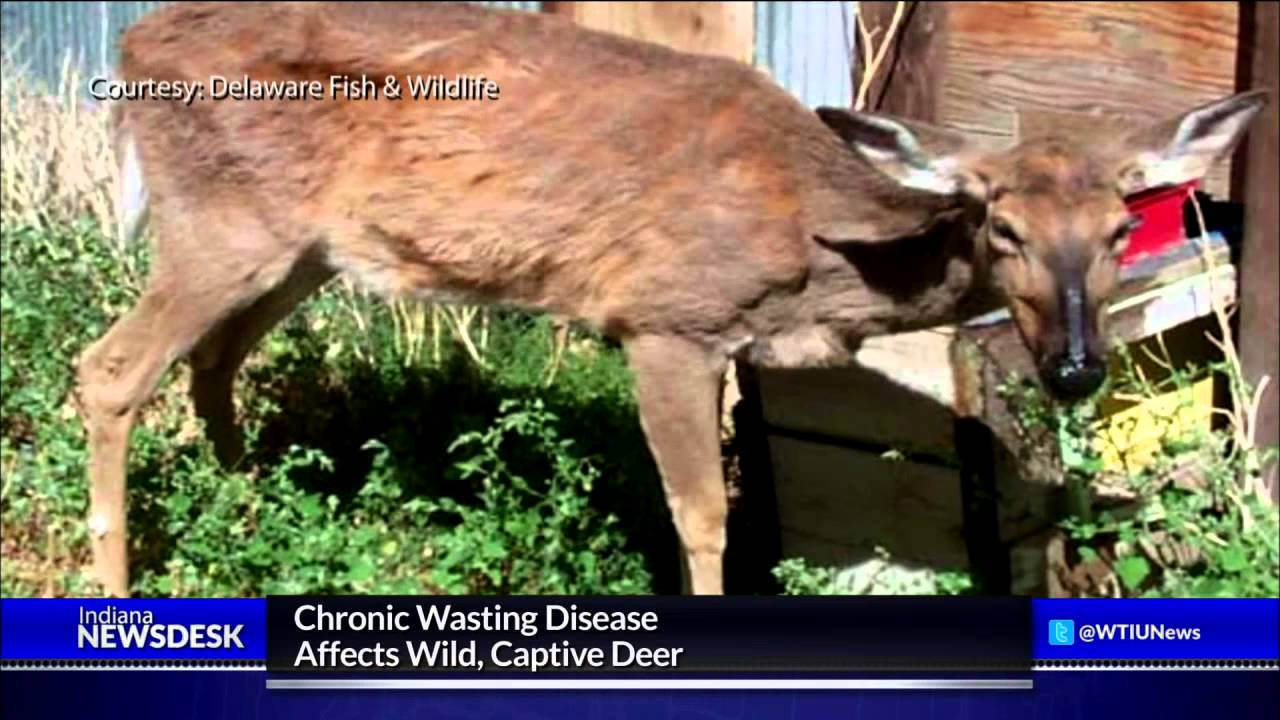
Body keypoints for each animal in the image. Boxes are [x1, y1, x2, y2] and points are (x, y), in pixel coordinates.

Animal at [75, 1, 1267, 597]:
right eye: (1002, 227)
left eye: (1120, 230)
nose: (1074, 366)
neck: (810, 246)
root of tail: (128, 42)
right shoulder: (662, 318)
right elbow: (704, 515)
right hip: (221, 223)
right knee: (107, 370)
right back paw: (119, 582)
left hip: (299, 248)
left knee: (212, 362)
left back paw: (247, 507)